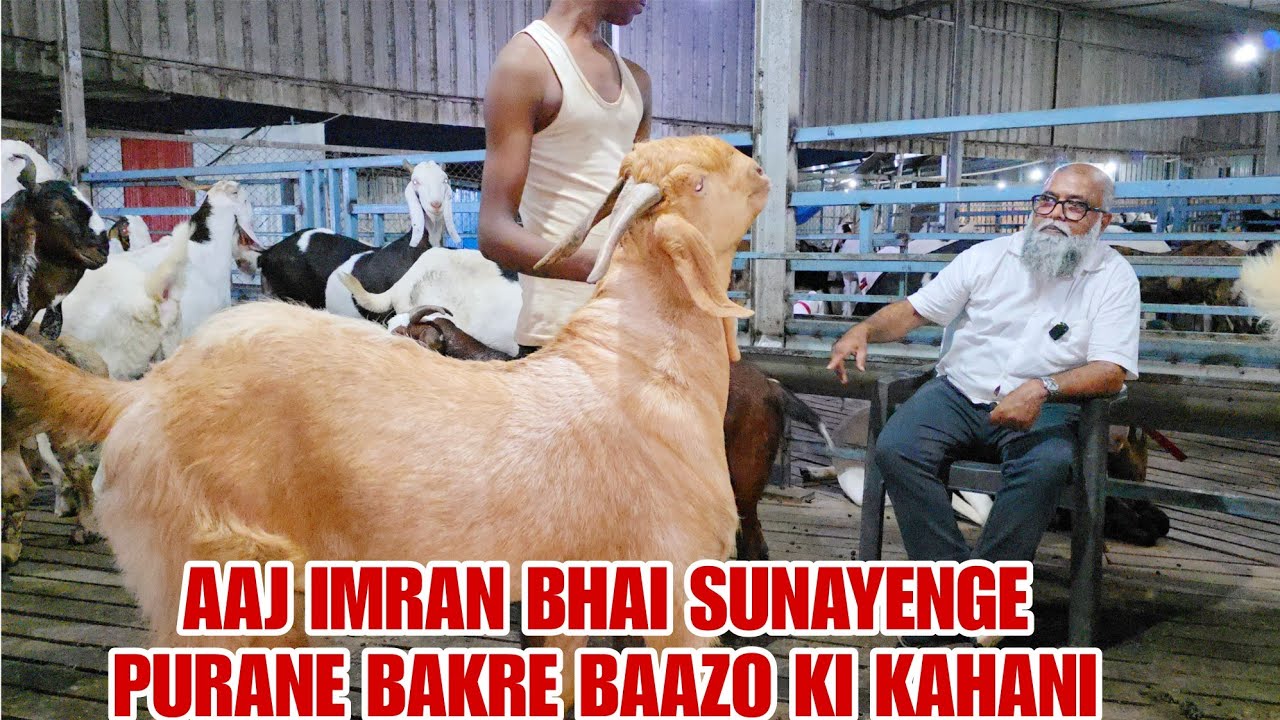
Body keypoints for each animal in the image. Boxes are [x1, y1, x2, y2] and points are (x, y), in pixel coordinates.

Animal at [0, 137, 769, 698]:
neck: (634, 361)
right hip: (205, 573)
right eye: (698, 184)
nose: (761, 171)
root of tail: (141, 396)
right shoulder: (675, 581)